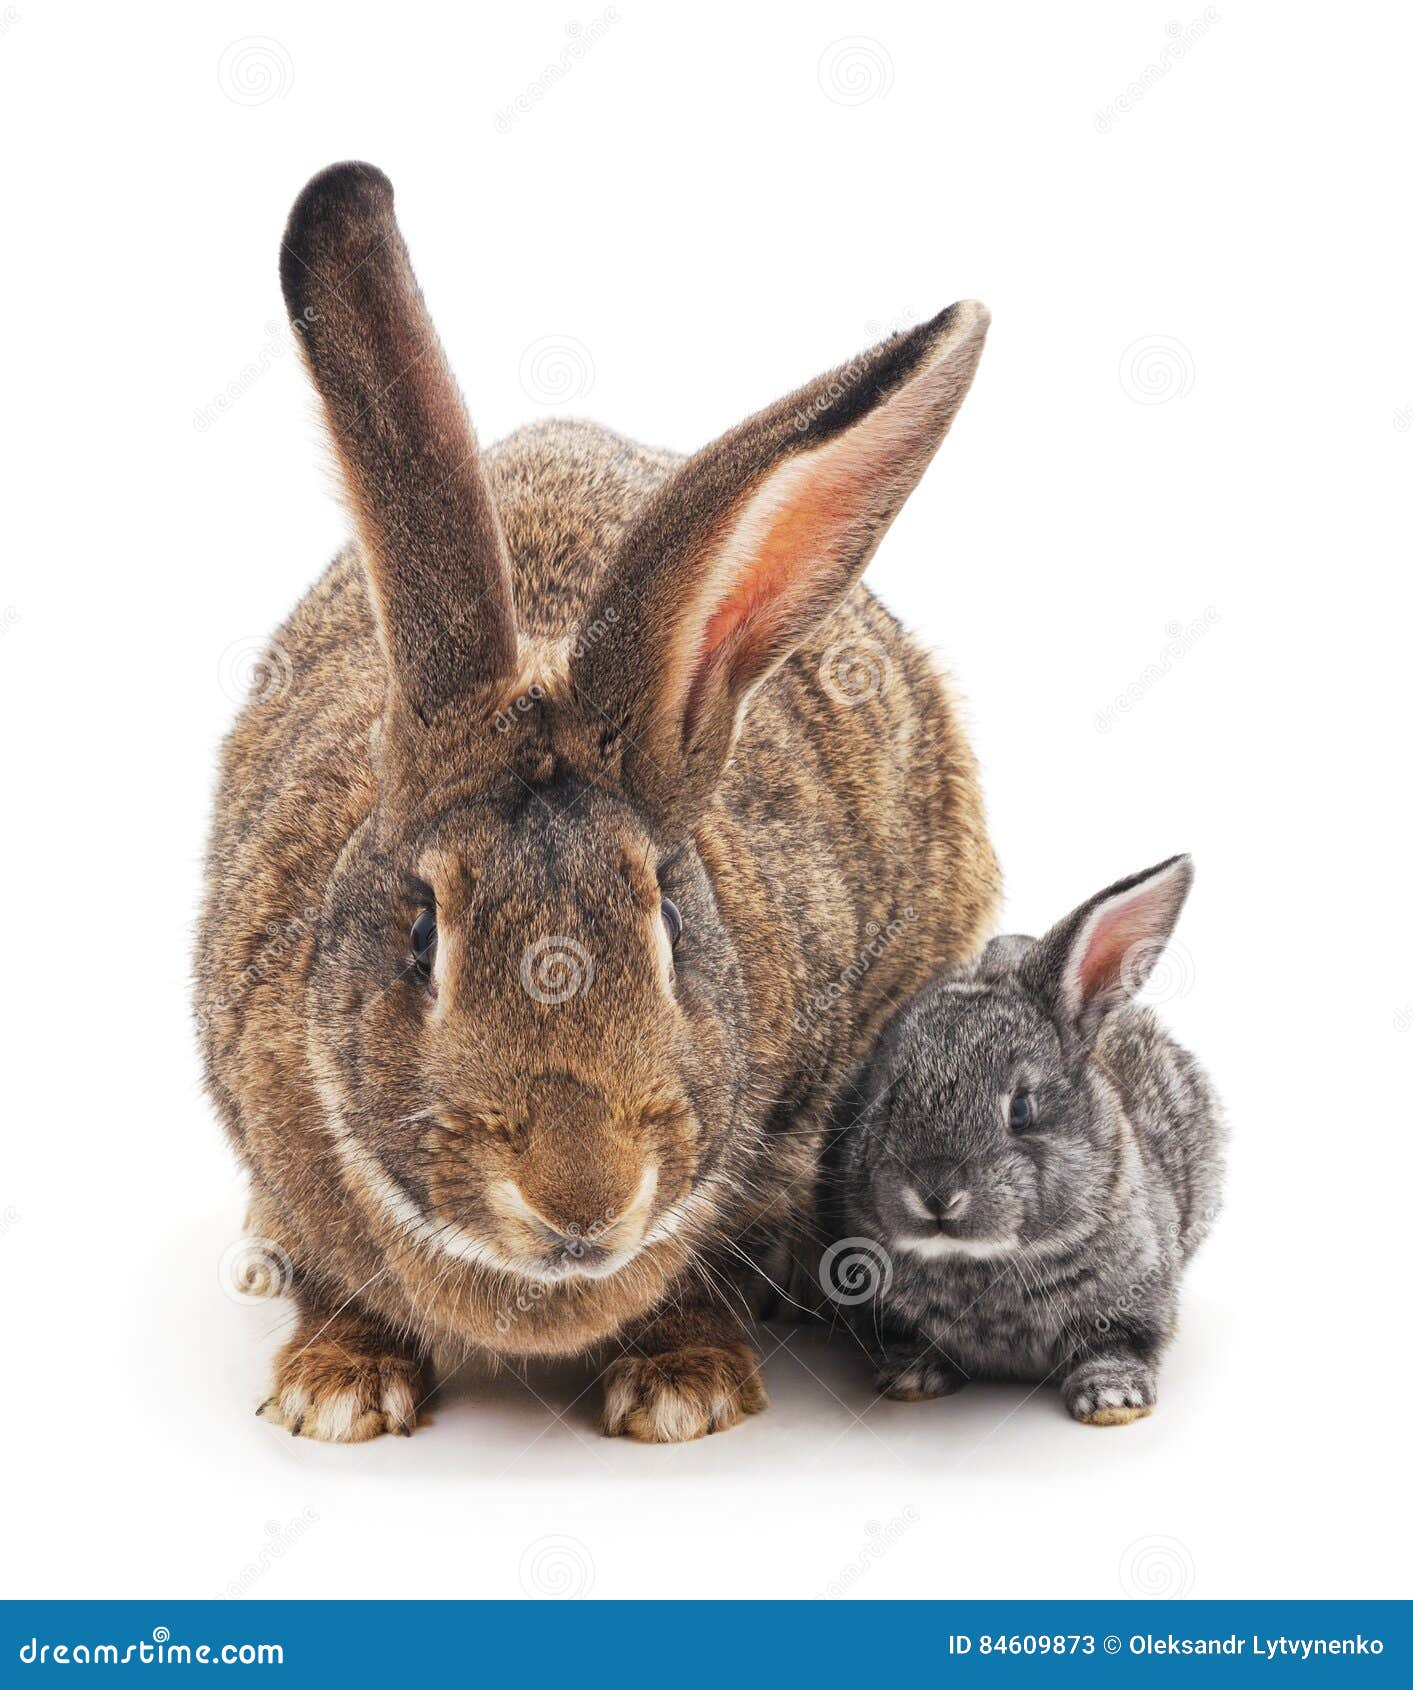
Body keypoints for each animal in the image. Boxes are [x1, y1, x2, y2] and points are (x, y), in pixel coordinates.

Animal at [194, 162, 1001, 1443]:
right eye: (420, 936)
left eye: (668, 921)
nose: (580, 1196)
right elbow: (337, 1280)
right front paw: (337, 1389)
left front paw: (683, 1390)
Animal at [827, 855, 1224, 1425]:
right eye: (889, 1095)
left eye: (1021, 1110)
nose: (936, 1194)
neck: (982, 1262)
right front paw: (911, 1379)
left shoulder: (1137, 1295)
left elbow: (1117, 1346)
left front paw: (1112, 1401)